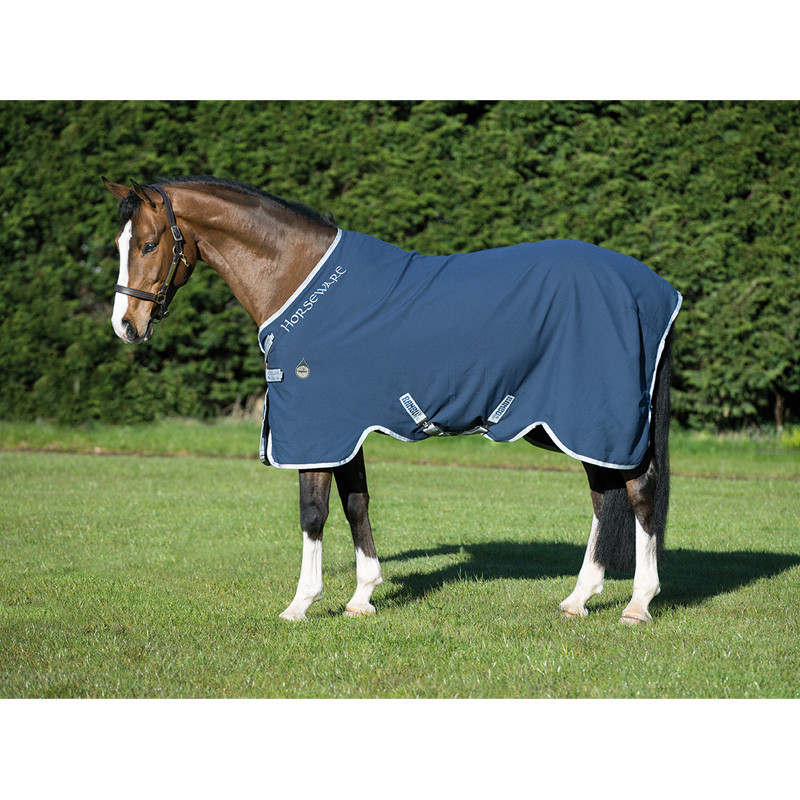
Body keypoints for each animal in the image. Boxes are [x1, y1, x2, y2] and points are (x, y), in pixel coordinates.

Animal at [103, 175, 681, 625]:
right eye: (118, 244)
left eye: (149, 245)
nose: (126, 326)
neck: (297, 281)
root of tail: (654, 289)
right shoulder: (345, 429)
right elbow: (356, 503)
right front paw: (362, 597)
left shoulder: (317, 427)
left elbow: (313, 512)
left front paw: (300, 604)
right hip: (579, 425)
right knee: (605, 497)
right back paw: (579, 599)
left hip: (592, 419)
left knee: (639, 493)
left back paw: (637, 605)